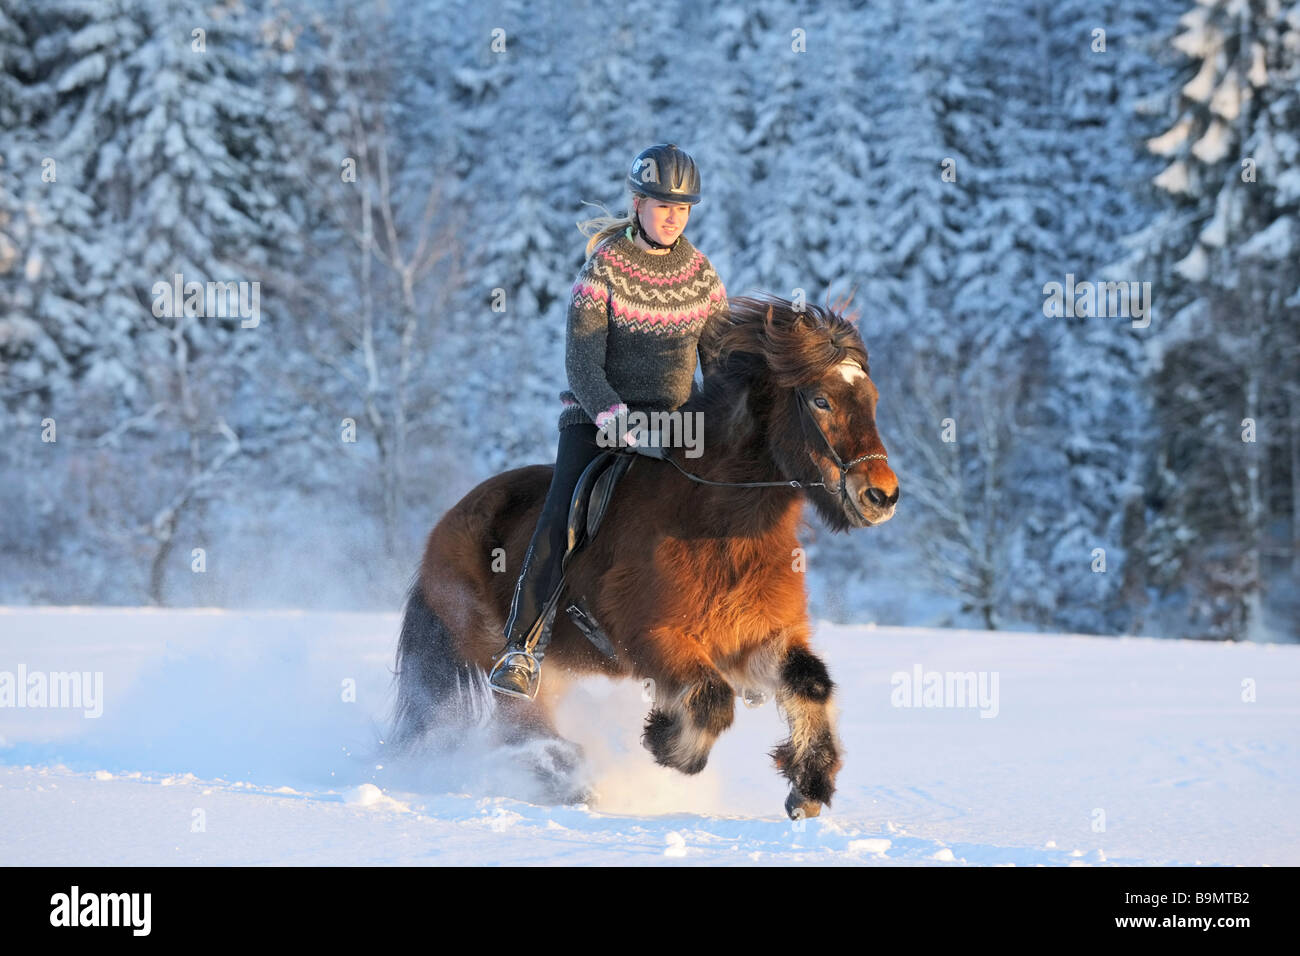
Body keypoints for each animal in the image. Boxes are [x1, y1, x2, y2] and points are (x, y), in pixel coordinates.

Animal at [388, 292, 899, 819]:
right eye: (820, 400)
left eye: (873, 400)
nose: (881, 496)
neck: (720, 526)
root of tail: (445, 525)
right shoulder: (654, 637)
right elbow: (712, 699)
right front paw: (666, 742)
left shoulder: (755, 636)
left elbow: (811, 683)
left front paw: (808, 787)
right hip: (497, 649)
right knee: (519, 723)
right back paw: (570, 779)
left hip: (554, 669)